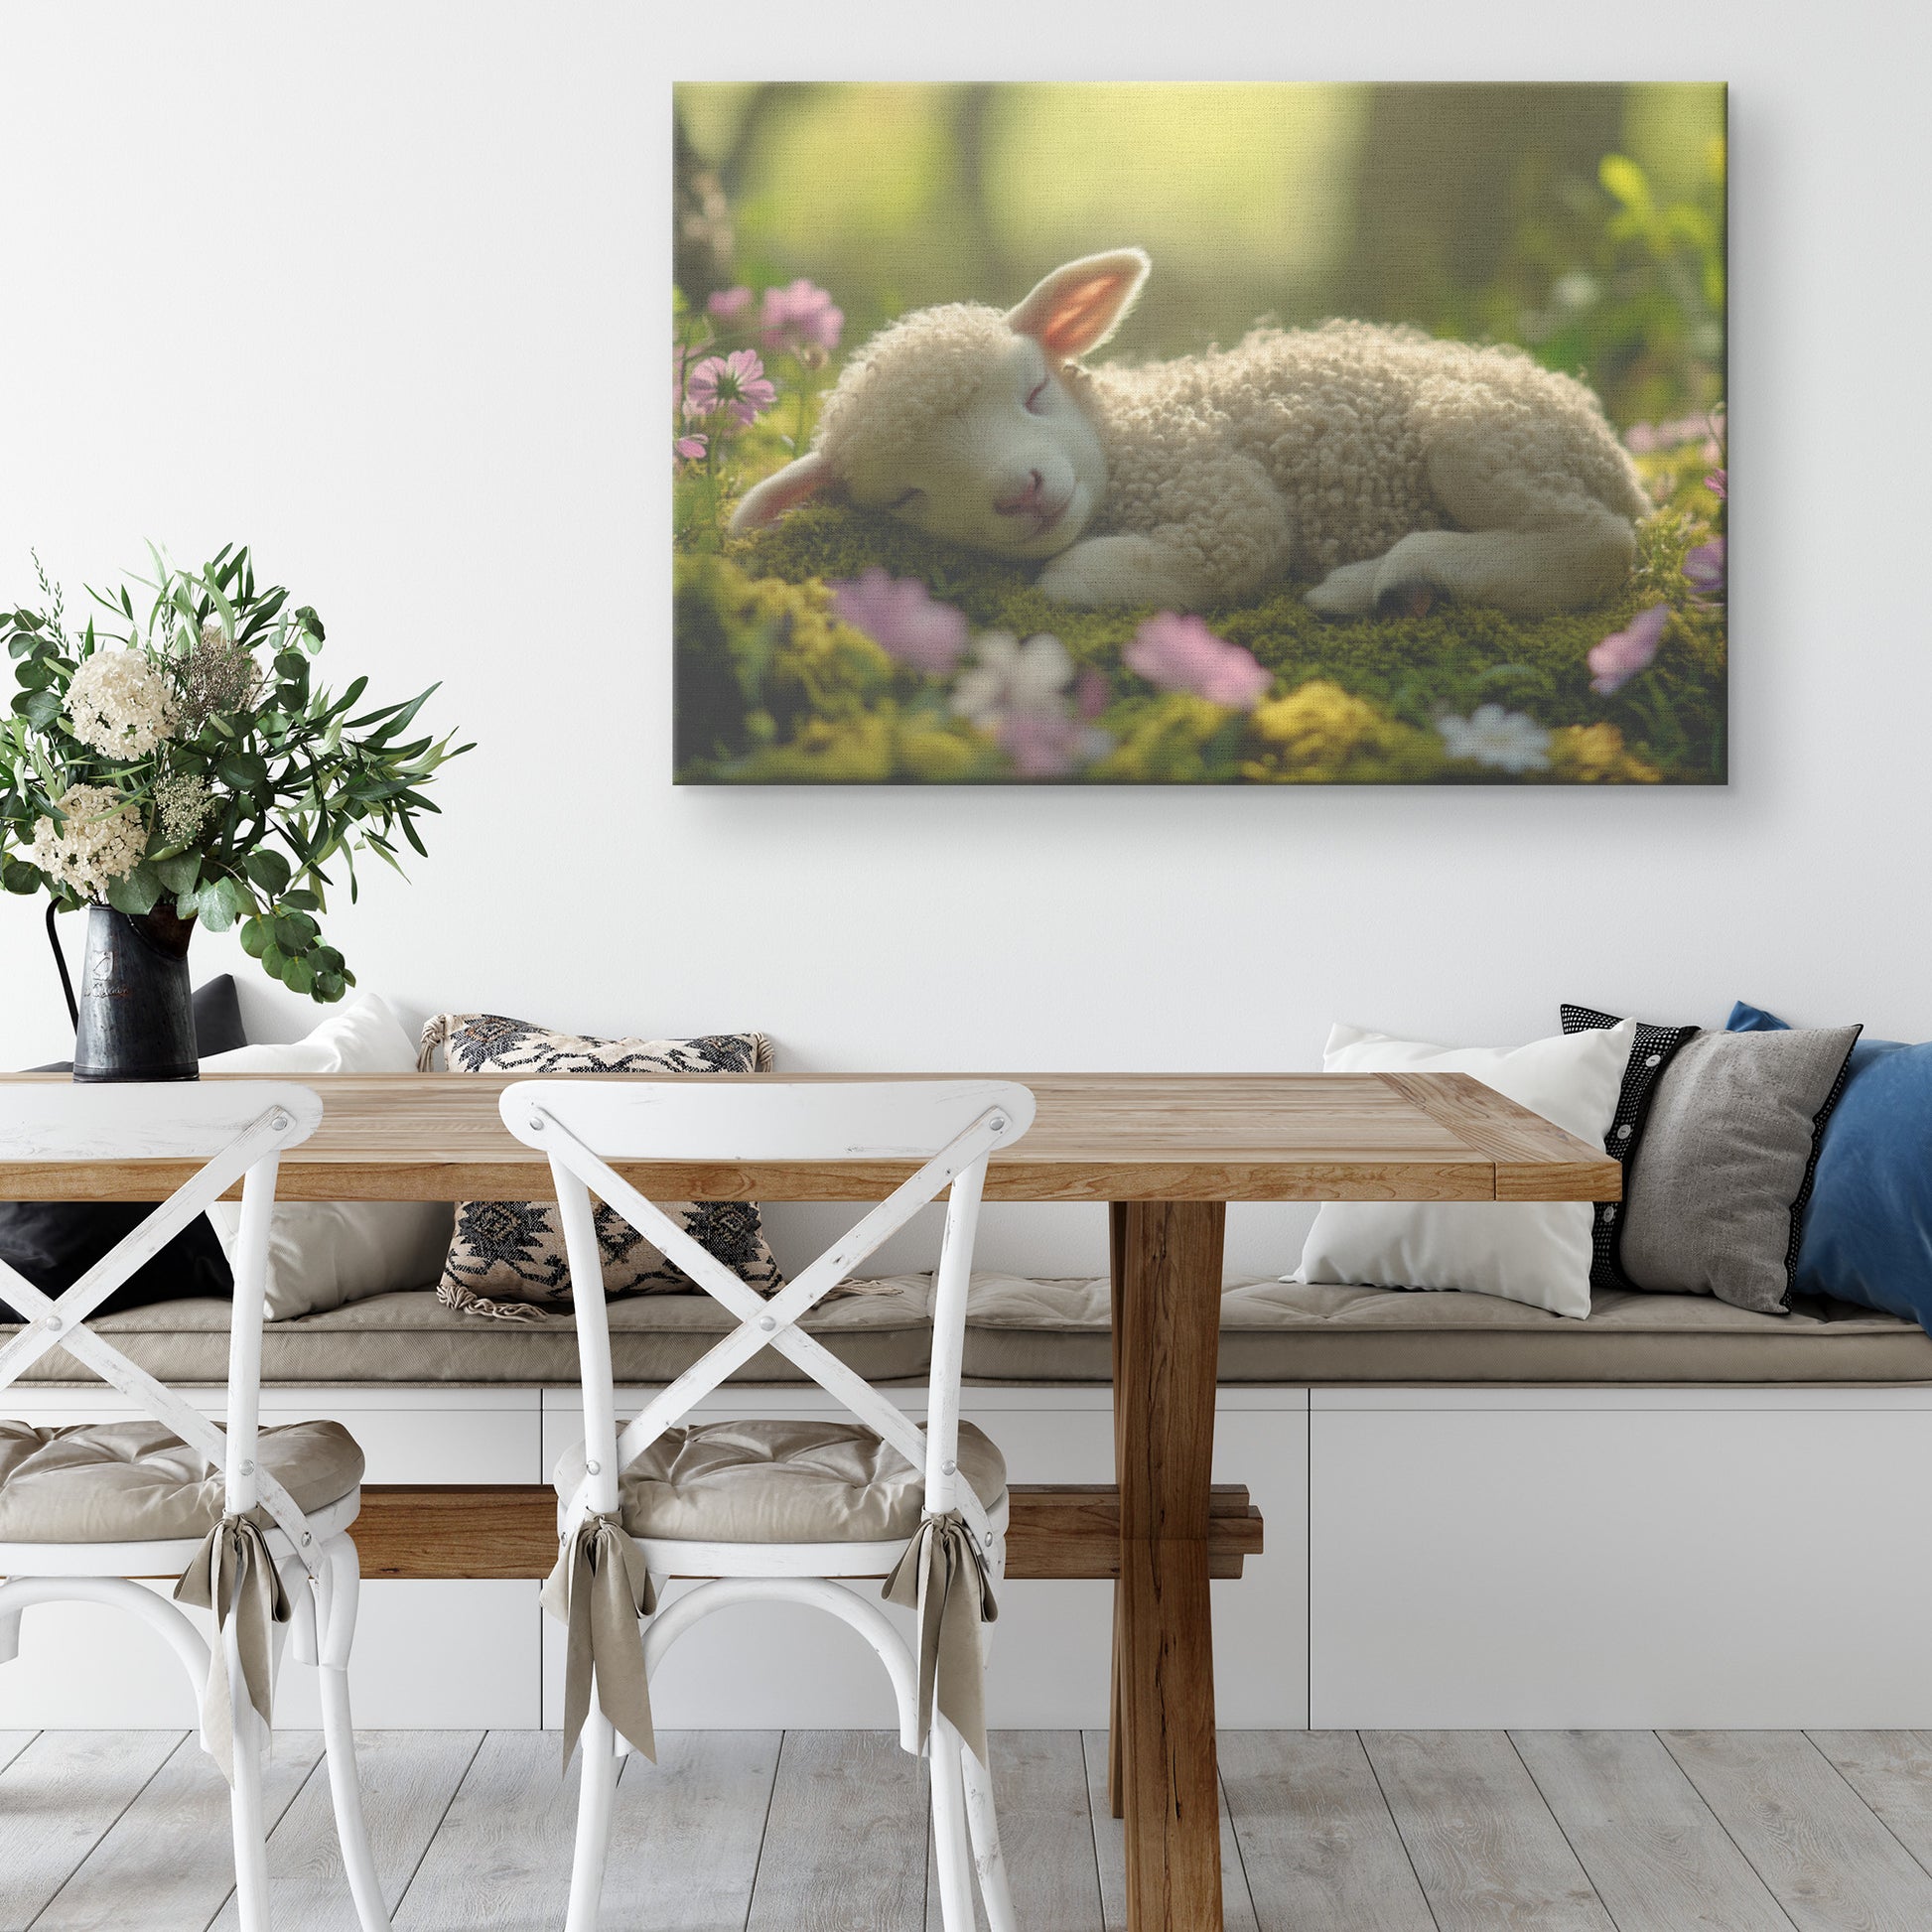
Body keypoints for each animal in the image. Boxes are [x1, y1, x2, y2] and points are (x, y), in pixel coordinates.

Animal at [731, 249, 1653, 618]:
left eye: (1034, 390)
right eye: (908, 495)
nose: (1020, 492)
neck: (1132, 432)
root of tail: (1612, 448)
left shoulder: (1222, 500)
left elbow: (1078, 577)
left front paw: (1073, 571)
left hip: (1485, 432)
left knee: (1596, 544)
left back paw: (1385, 576)